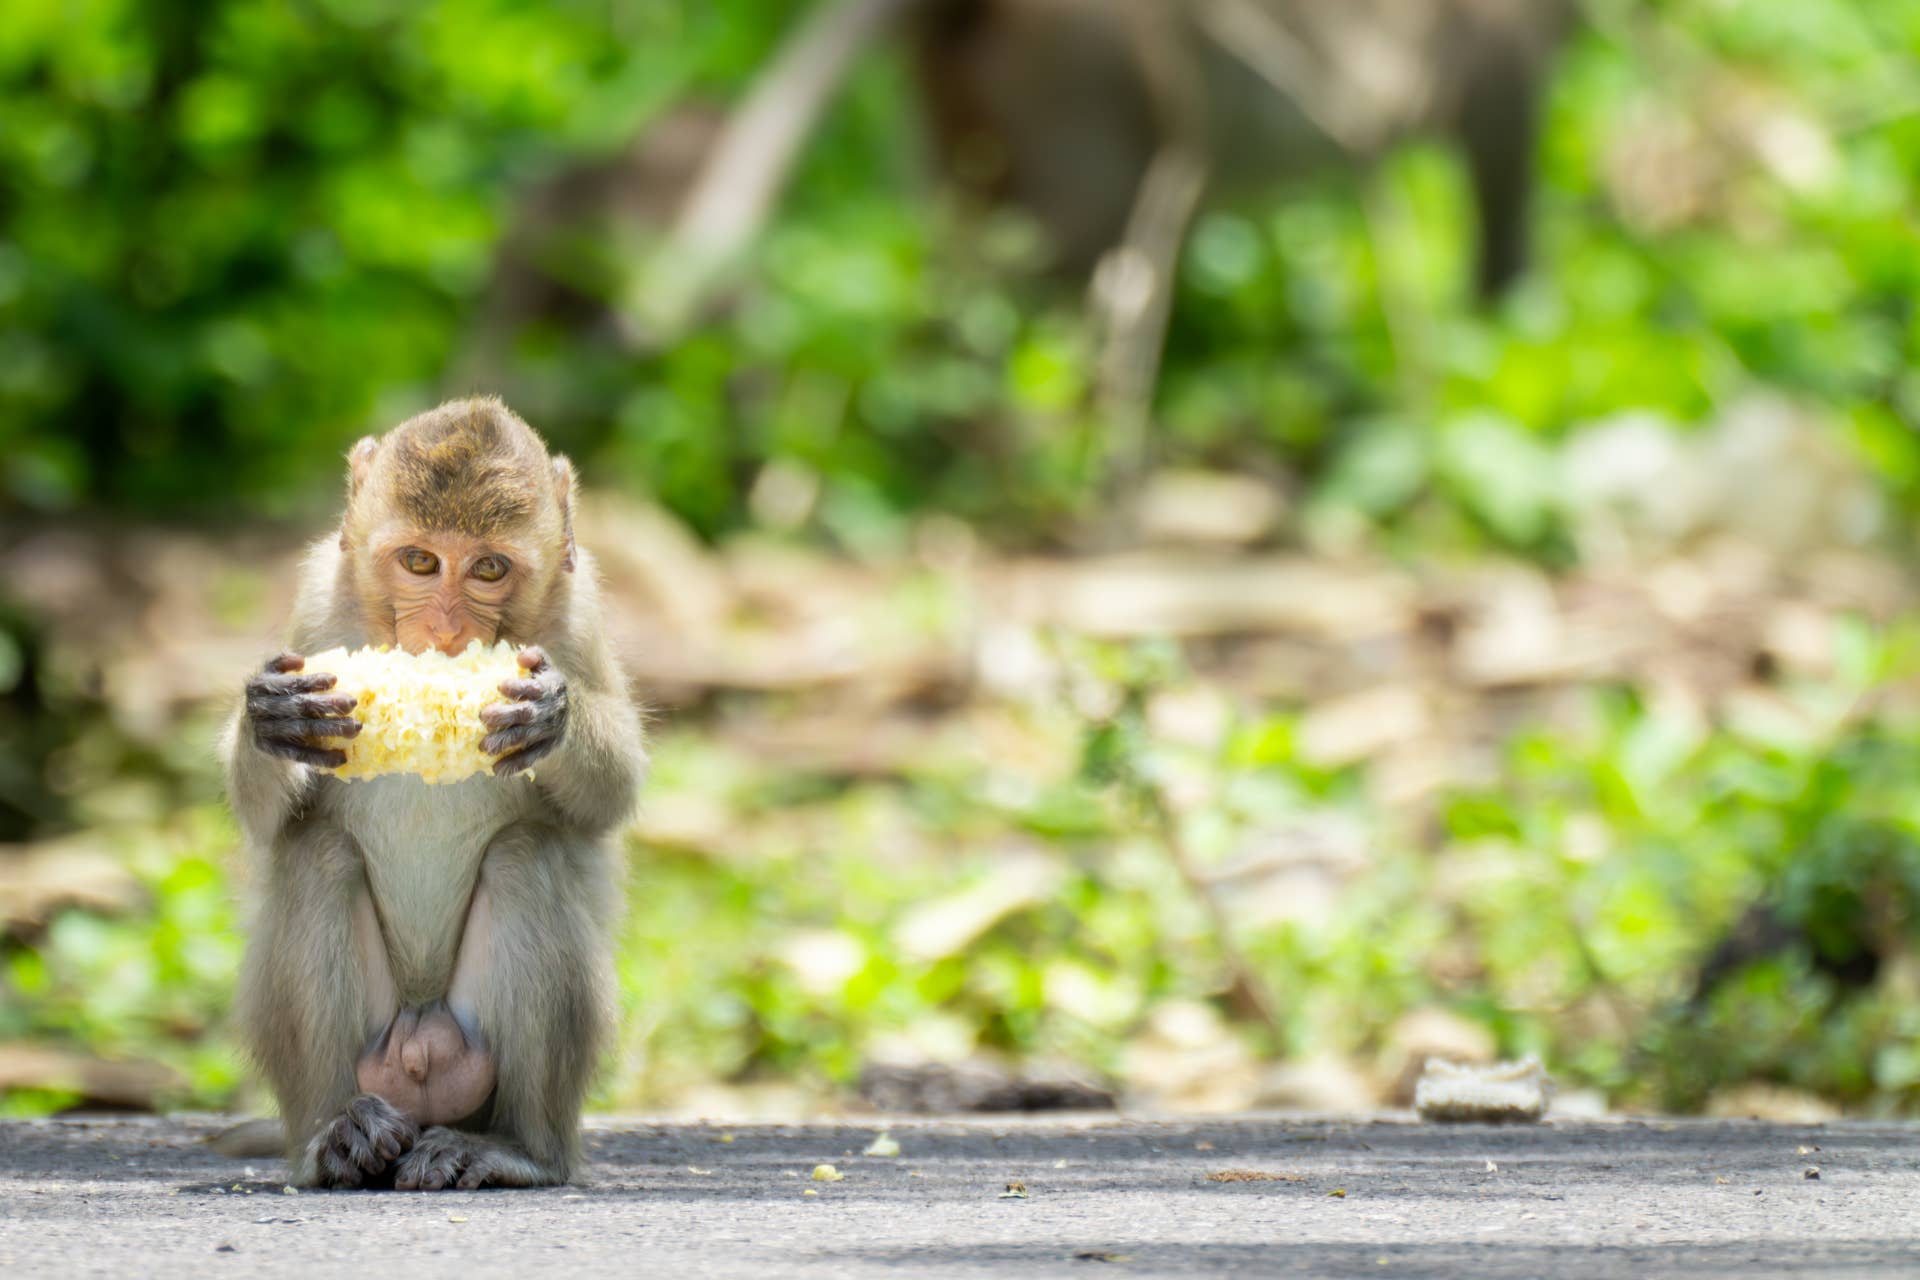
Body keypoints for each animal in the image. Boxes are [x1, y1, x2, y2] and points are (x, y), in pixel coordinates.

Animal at [221, 397, 646, 1190]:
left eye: (488, 568)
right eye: (420, 561)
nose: (446, 627)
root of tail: (420, 1047)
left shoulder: (582, 615)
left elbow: (613, 793)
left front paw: (552, 717)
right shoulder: (316, 599)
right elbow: (267, 820)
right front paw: (275, 715)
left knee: (525, 859)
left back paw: (517, 1151)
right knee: (316, 854)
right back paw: (336, 1136)